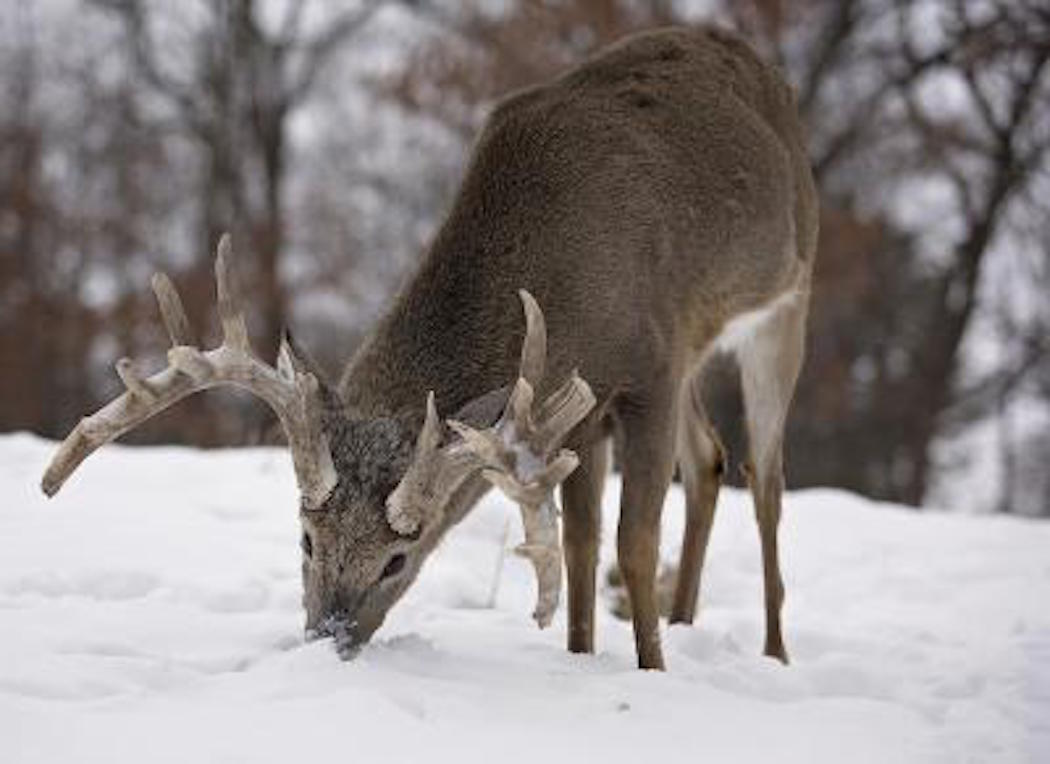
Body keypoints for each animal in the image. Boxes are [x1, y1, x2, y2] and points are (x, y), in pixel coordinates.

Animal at [40, 26, 817, 670]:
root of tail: (761, 67)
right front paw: (581, 658)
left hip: (785, 301)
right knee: (710, 460)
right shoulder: (576, 413)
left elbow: (632, 542)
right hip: (701, 353)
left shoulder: (650, 366)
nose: (325, 644)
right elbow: (579, 543)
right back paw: (688, 622)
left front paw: (650, 672)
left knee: (768, 480)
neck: (566, 277)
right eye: (306, 539)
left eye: (399, 557)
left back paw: (775, 651)